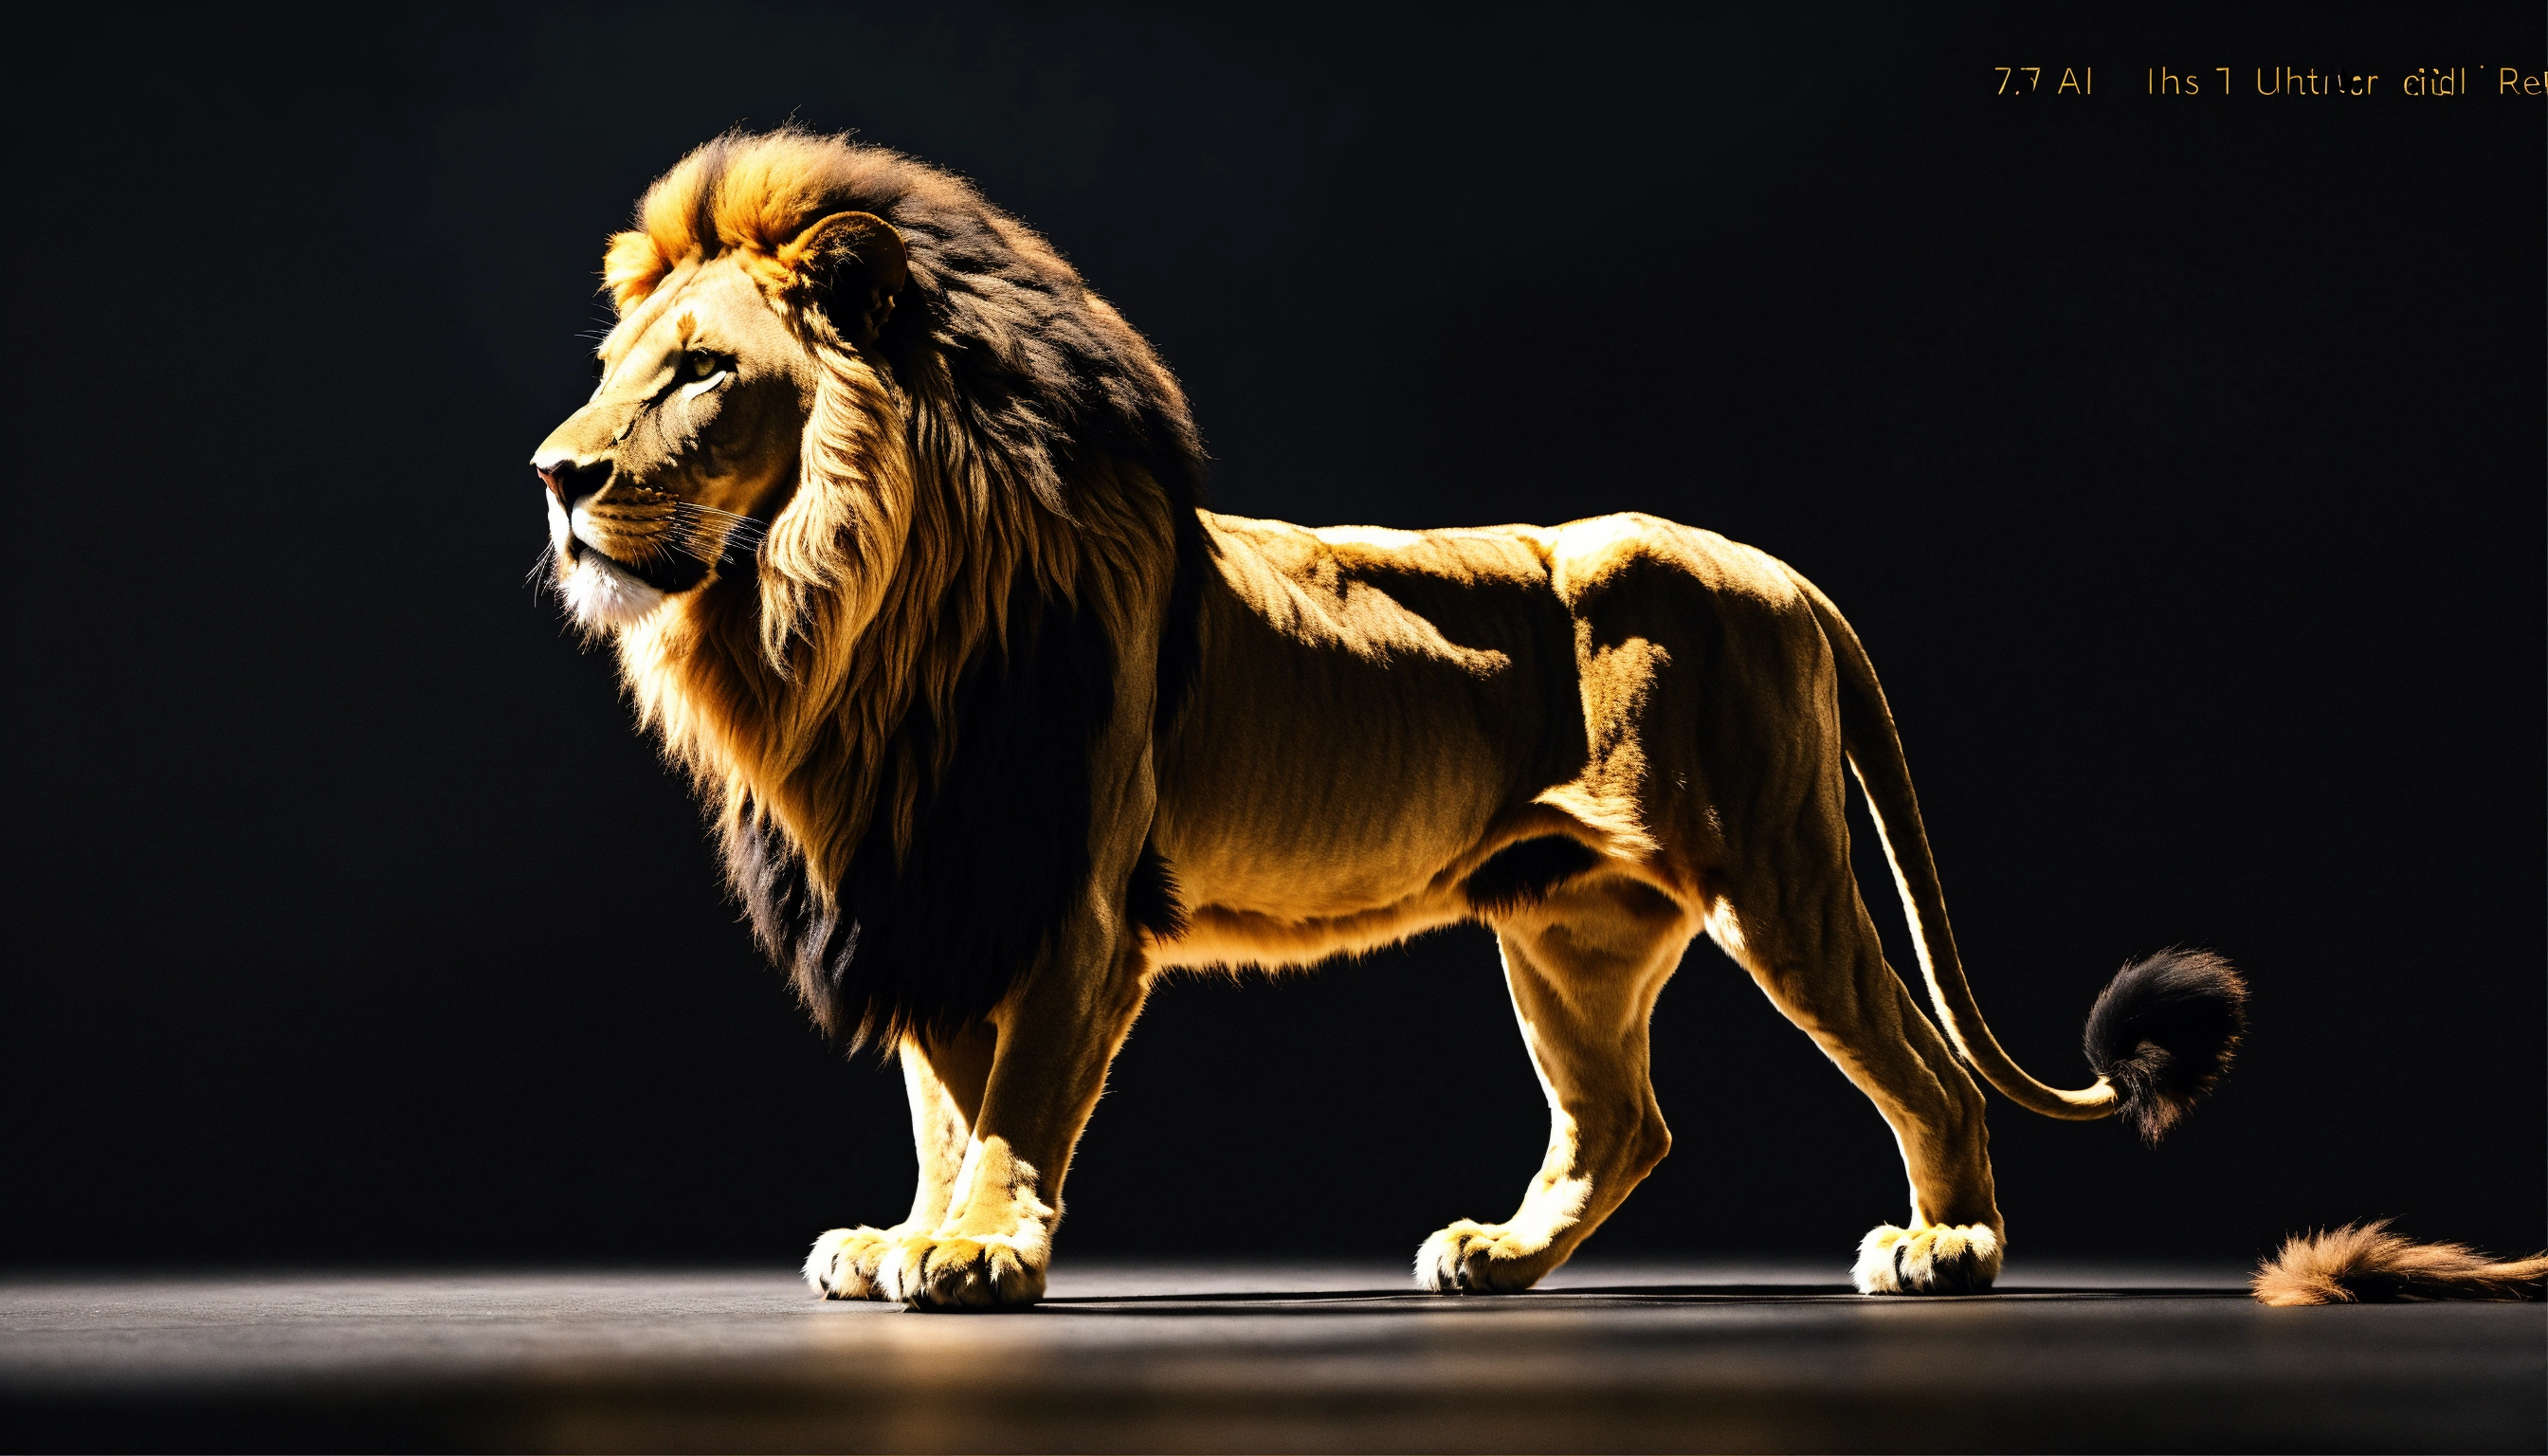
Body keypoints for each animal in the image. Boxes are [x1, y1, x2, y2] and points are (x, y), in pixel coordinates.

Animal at [530, 128, 2538, 1310]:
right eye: (615, 368)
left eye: (701, 373)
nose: (552, 474)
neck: (834, 614)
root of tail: (1772, 567)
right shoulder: (941, 884)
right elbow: (943, 1102)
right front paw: (909, 1232)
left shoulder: (1066, 899)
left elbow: (1015, 1106)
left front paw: (974, 1255)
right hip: (1570, 932)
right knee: (1620, 1123)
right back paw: (1501, 1254)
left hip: (1774, 871)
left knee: (1918, 1065)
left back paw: (1946, 1245)